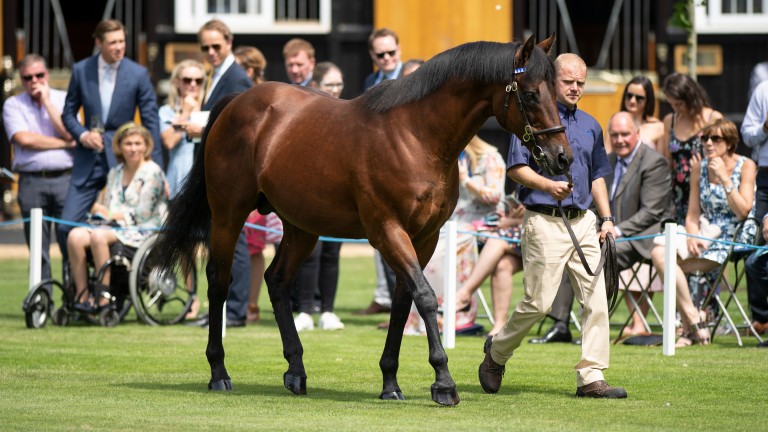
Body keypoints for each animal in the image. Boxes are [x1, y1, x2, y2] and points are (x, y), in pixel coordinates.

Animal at [152, 34, 571, 406]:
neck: (416, 137)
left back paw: (296, 372)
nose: (562, 157)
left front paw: (390, 382)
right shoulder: (387, 230)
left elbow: (403, 301)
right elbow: (425, 297)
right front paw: (444, 383)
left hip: (302, 227)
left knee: (277, 280)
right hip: (229, 214)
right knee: (219, 281)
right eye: (531, 94)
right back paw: (219, 373)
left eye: (557, 92)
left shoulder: (425, 237)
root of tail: (237, 102)